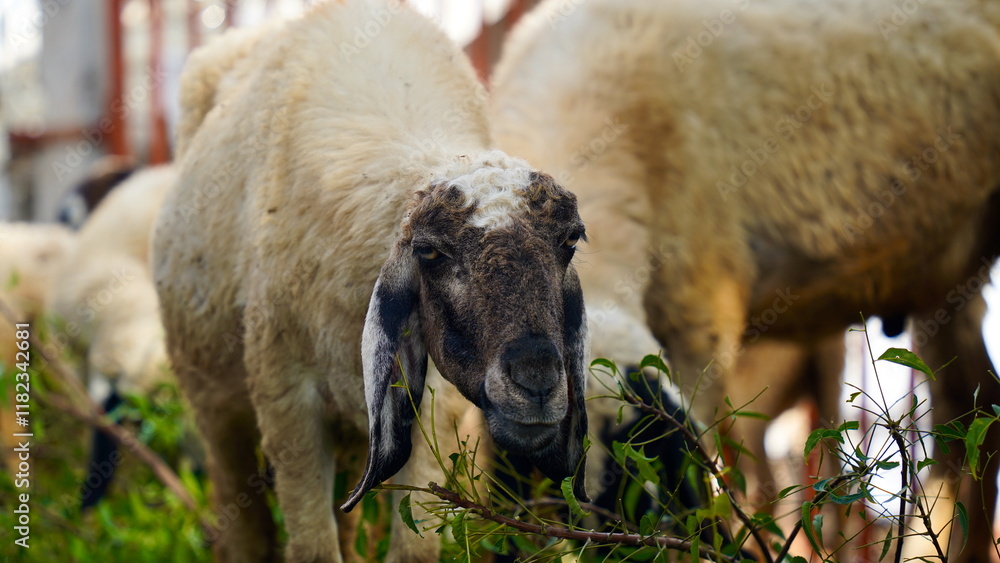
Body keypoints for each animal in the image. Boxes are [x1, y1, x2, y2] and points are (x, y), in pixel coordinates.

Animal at [152, 1, 589, 561]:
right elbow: (313, 549)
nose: (536, 381)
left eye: (570, 241)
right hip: (216, 407)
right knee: (243, 519)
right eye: (429, 252)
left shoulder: (428, 407)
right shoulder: (288, 400)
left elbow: (412, 548)